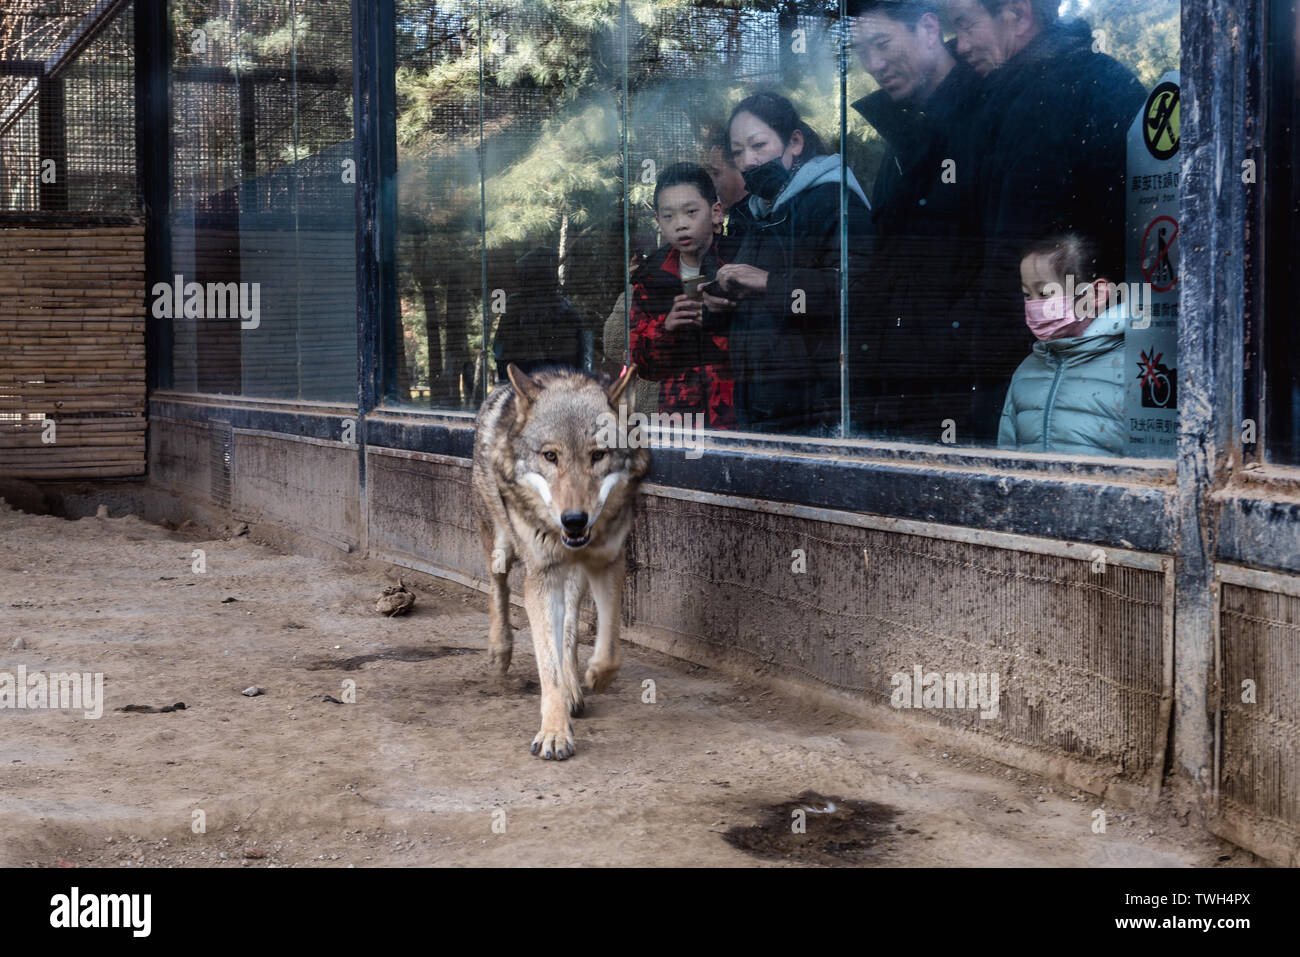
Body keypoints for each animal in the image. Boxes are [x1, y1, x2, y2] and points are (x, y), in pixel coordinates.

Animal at [471, 363, 650, 759]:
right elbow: (547, 663)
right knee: (498, 585)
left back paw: (573, 685)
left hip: (575, 577)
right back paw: (500, 648)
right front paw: (554, 733)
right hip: (501, 548)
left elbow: (608, 647)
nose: (574, 520)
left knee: (568, 628)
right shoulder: (541, 576)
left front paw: (595, 676)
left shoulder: (607, 563)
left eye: (598, 455)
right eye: (550, 456)